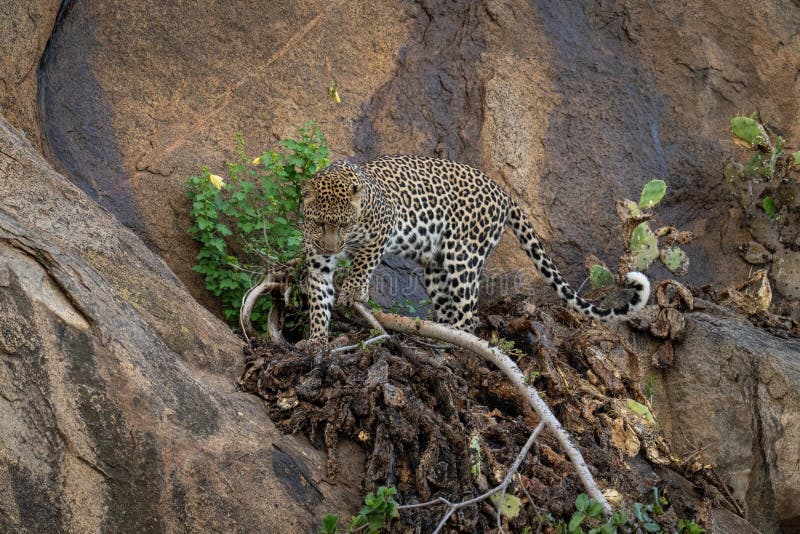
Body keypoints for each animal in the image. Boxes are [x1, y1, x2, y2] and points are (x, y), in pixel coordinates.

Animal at [299, 155, 650, 344]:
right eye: (319, 223)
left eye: (345, 224)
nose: (332, 246)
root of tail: (504, 192)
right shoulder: (317, 261)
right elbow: (318, 299)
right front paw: (316, 340)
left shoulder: (383, 227)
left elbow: (363, 261)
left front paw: (352, 292)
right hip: (437, 266)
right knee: (449, 308)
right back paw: (441, 337)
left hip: (463, 256)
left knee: (470, 317)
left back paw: (459, 344)